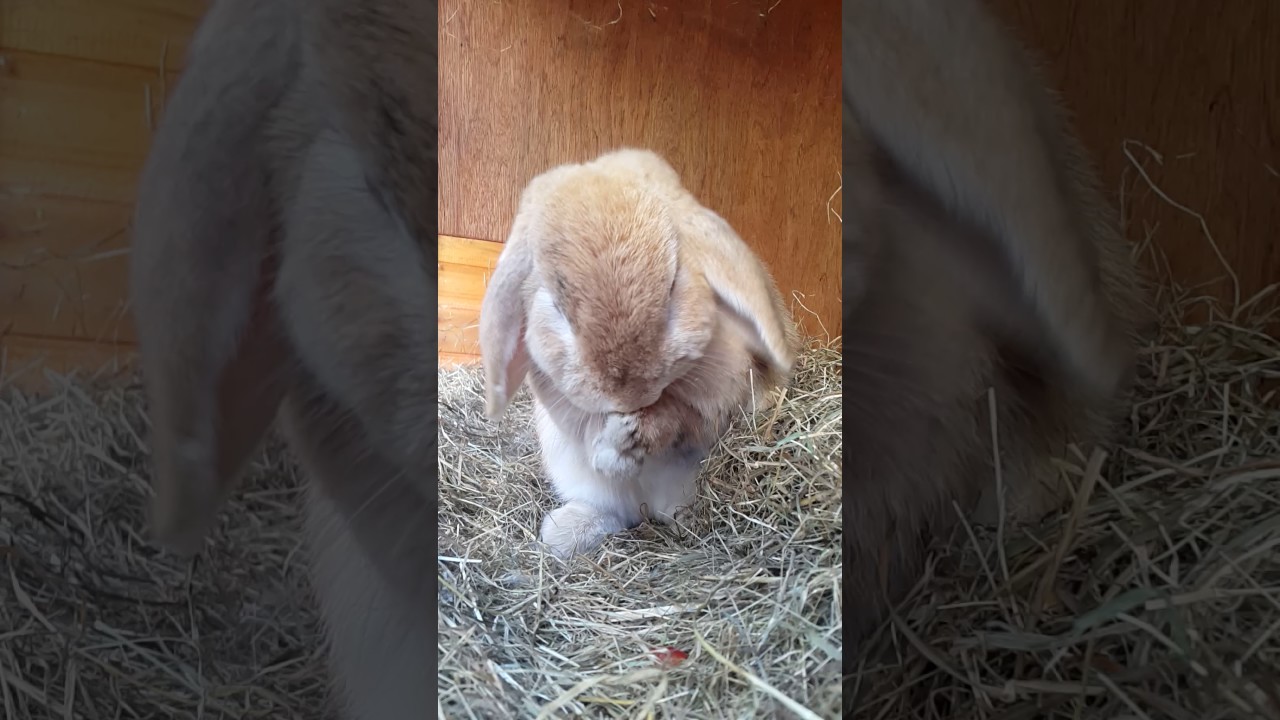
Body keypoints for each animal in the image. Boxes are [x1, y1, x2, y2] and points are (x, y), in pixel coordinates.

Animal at [477, 148, 801, 560]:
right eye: (558, 307)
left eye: (673, 285)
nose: (628, 394)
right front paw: (611, 452)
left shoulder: (723, 399)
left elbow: (681, 421)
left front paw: (625, 440)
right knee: (617, 514)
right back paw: (563, 532)